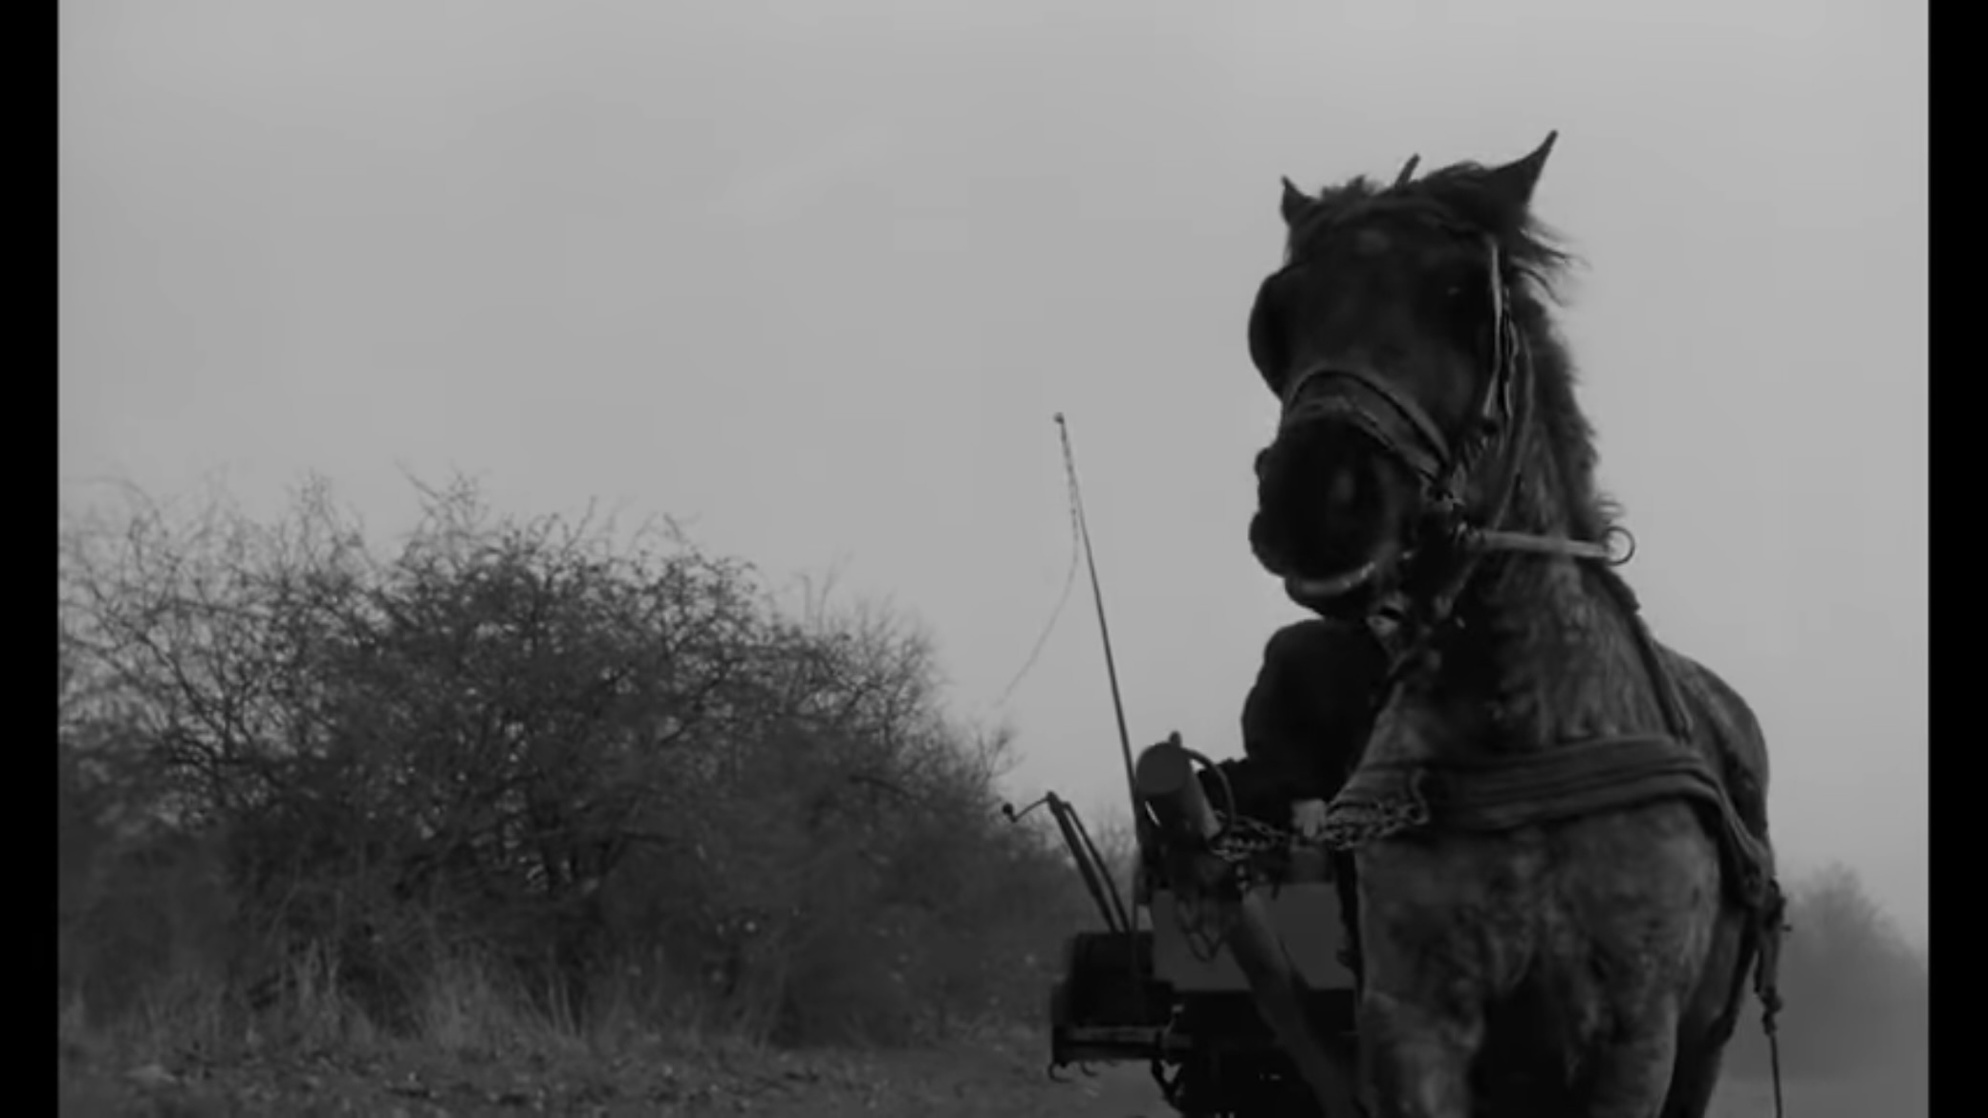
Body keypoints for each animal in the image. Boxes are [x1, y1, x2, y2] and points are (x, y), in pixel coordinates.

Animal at [1240, 133, 1784, 1118]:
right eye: (1280, 317)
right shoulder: (1414, 1024)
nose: (1318, 498)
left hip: (1705, 1043)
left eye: (1463, 299)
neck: (1515, 726)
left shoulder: (1636, 1036)